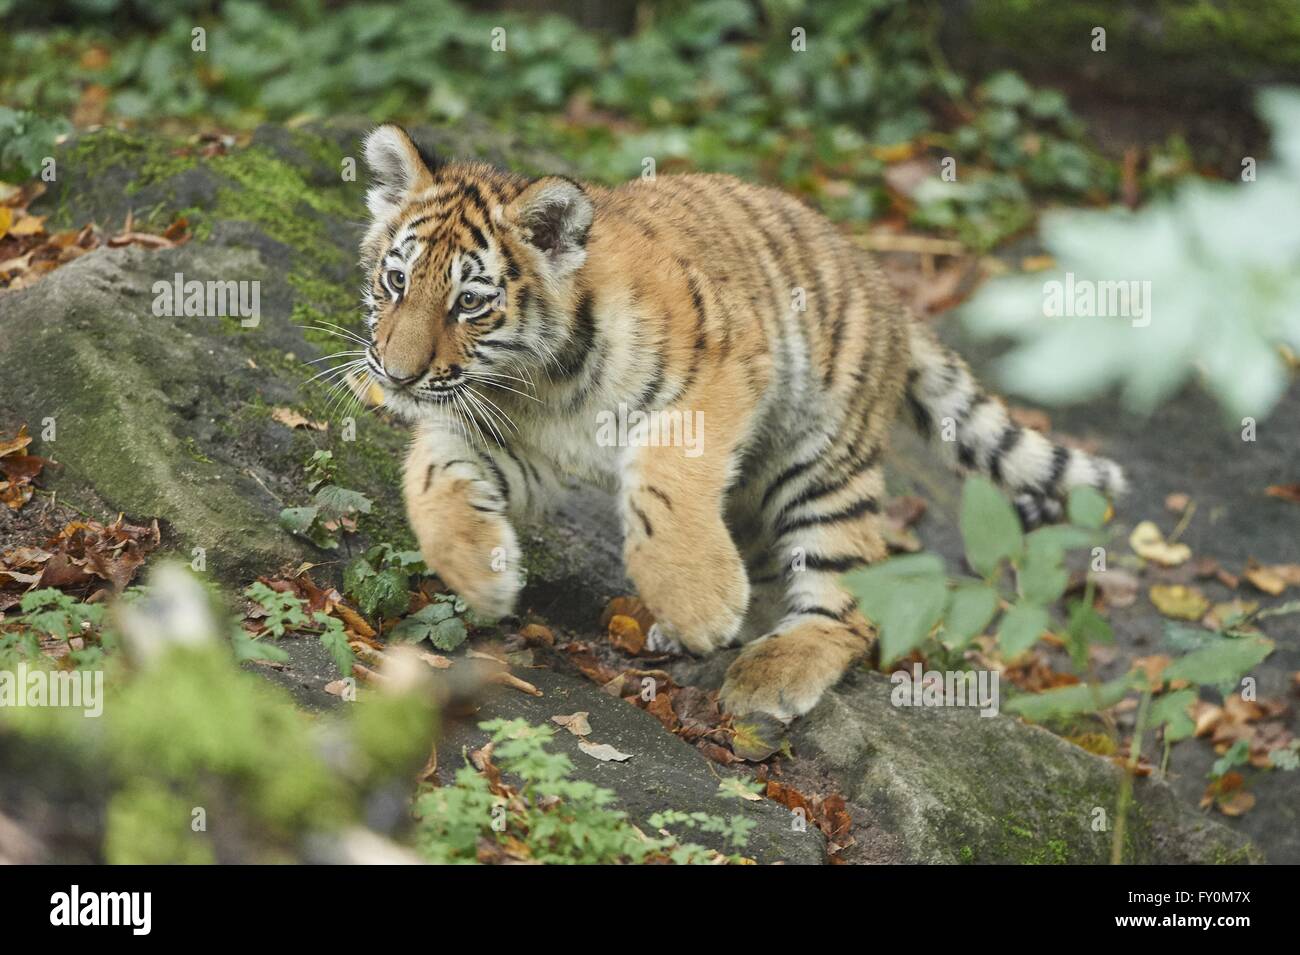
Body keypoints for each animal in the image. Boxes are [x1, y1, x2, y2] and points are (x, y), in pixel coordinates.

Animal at [354, 124, 1125, 721]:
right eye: (397, 281)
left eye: (469, 303)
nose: (395, 373)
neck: (537, 382)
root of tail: (885, 285)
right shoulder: (515, 442)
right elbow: (430, 473)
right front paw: (480, 575)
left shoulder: (722, 375)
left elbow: (662, 478)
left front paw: (700, 602)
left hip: (821, 457)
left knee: (849, 603)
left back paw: (769, 671)